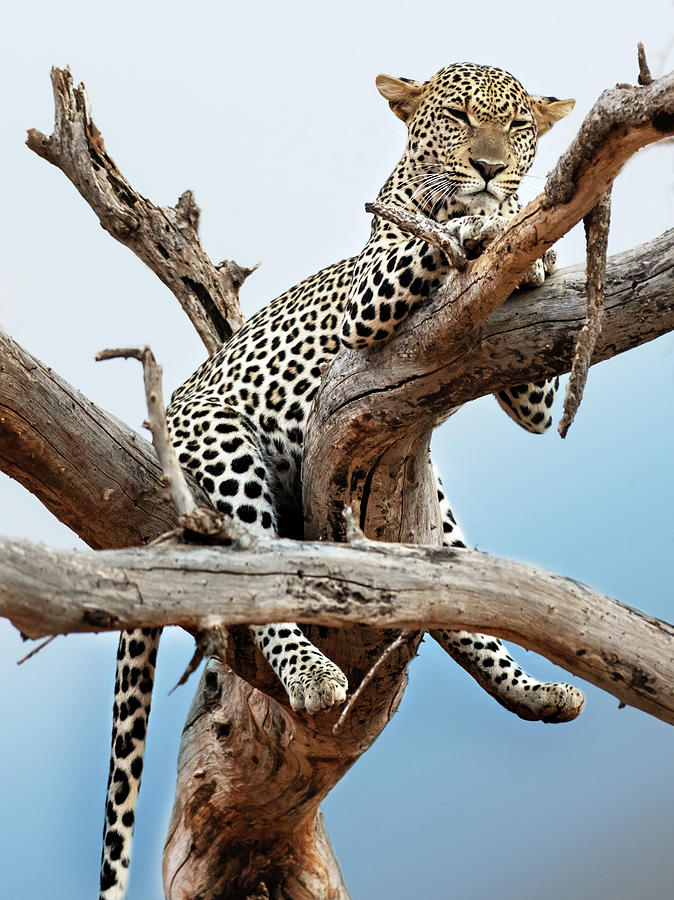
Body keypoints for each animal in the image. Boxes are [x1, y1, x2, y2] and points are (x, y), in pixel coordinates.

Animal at [99, 62, 584, 899]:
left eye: (518, 126)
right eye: (459, 118)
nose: (491, 168)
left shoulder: (531, 391)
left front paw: (519, 228)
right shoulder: (370, 298)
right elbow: (429, 246)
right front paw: (480, 223)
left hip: (426, 511)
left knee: (457, 598)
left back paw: (534, 691)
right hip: (221, 437)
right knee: (256, 567)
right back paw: (312, 674)